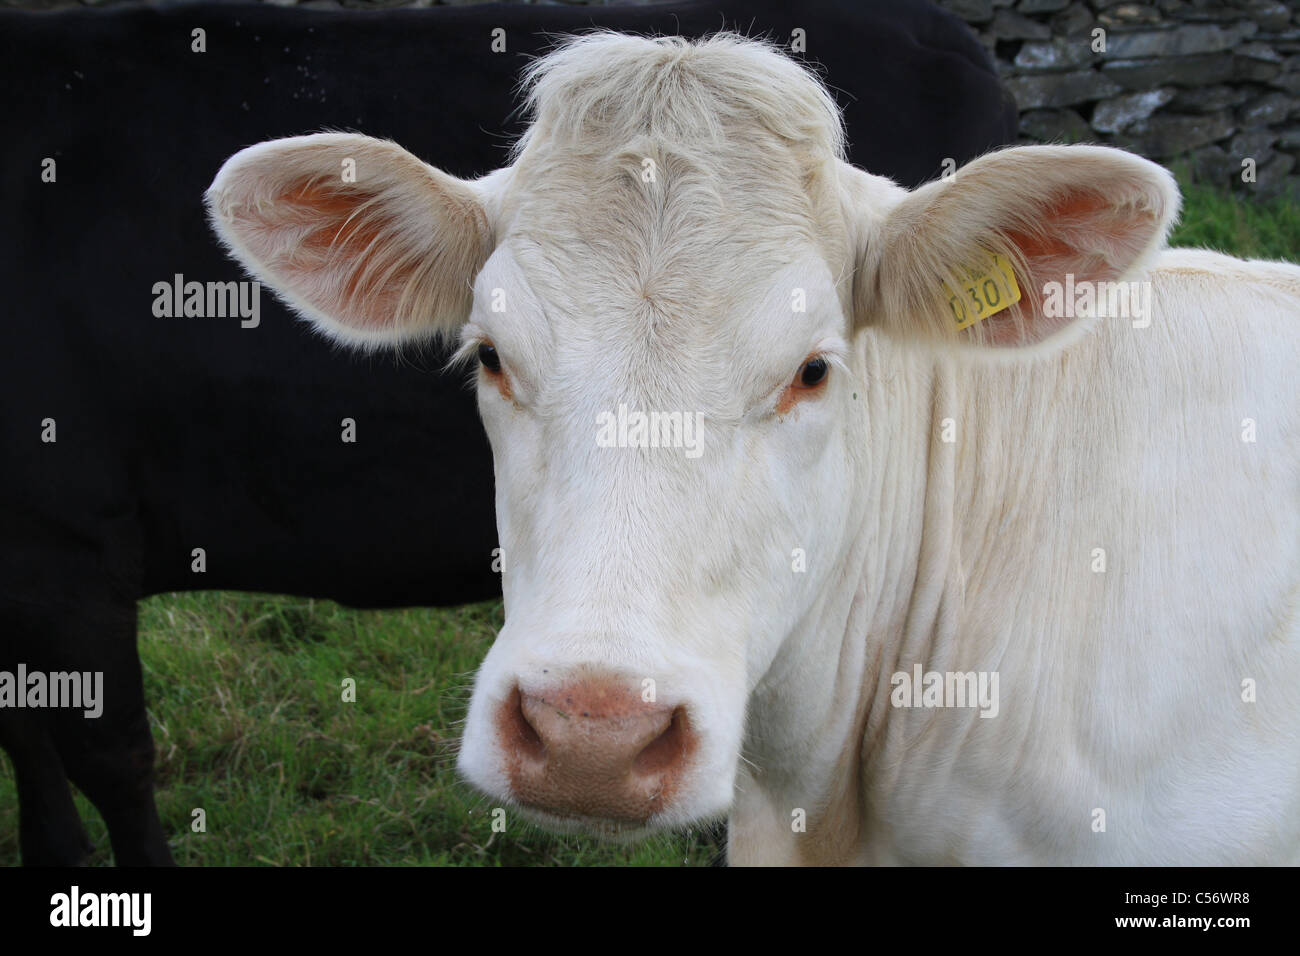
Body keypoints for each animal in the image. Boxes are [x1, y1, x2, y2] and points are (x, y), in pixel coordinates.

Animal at [1, 1, 1016, 865]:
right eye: (488, 353)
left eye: (814, 369)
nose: (592, 737)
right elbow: (28, 731)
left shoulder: (65, 550)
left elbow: (113, 756)